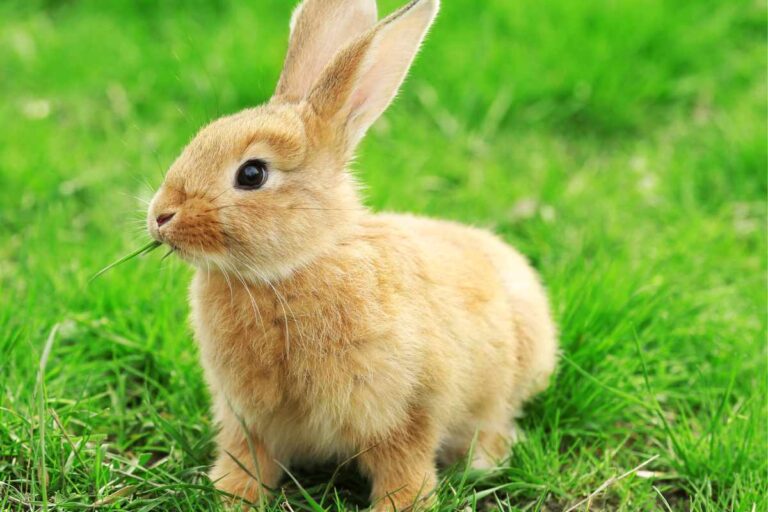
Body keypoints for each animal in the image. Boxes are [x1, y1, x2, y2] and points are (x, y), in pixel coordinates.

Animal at [146, 0, 558, 509]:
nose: (160, 216)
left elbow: (405, 467)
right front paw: (231, 495)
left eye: (252, 174)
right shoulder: (247, 419)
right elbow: (246, 457)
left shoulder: (407, 409)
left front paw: (401, 505)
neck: (293, 268)